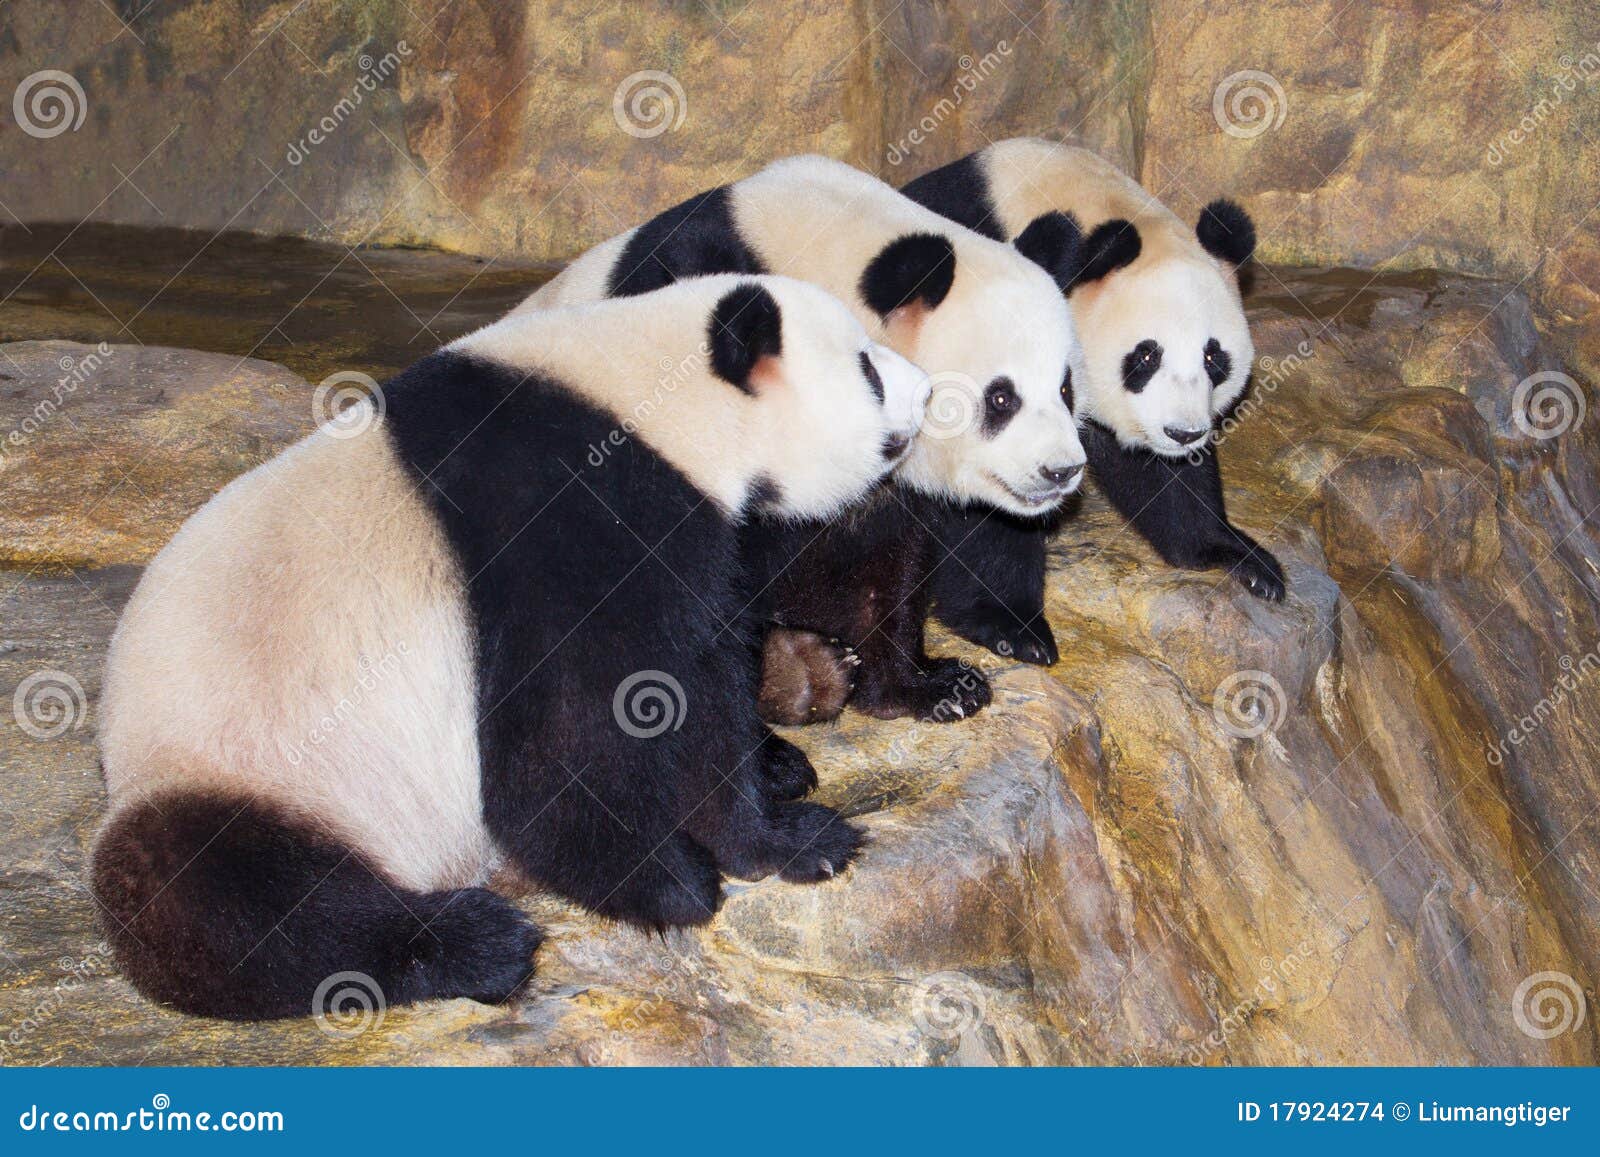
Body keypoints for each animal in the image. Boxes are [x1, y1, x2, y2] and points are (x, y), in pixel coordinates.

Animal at [90, 274, 930, 1021]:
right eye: (865, 365)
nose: (926, 391)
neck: (656, 401)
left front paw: (774, 782)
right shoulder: (565, 516)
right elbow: (580, 729)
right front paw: (707, 869)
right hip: (238, 769)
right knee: (233, 901)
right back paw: (474, 942)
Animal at [514, 154, 1088, 722]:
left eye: (1064, 387)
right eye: (1000, 398)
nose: (1061, 471)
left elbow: (894, 558)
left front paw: (928, 685)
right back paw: (797, 672)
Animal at [900, 137, 1287, 666]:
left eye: (1214, 357)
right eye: (1146, 355)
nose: (1183, 433)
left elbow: (1158, 477)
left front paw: (1238, 557)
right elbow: (982, 495)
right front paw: (1011, 624)